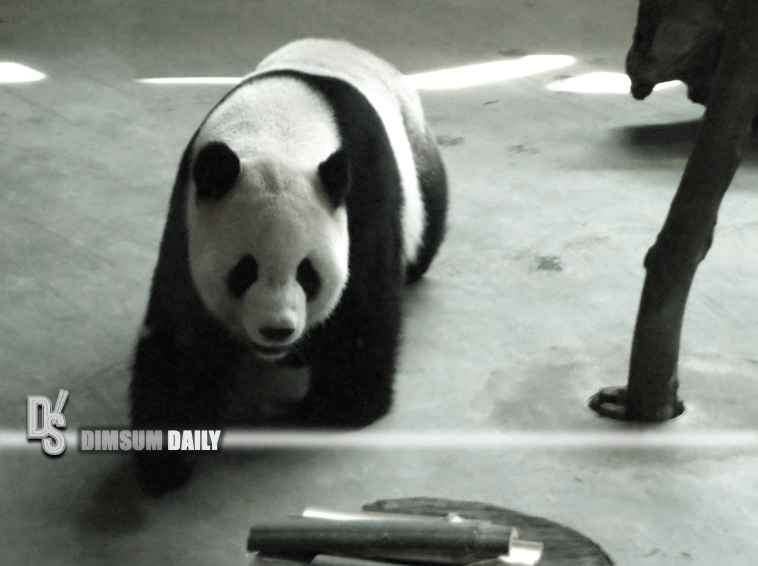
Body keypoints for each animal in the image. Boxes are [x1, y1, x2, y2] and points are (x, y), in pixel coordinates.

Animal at [130, 38, 448, 494]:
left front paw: (339, 406)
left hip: (417, 157)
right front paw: (167, 459)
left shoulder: (361, 194)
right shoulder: (190, 210)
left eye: (307, 274)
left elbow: (362, 305)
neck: (279, 131)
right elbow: (181, 331)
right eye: (243, 271)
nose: (276, 331)